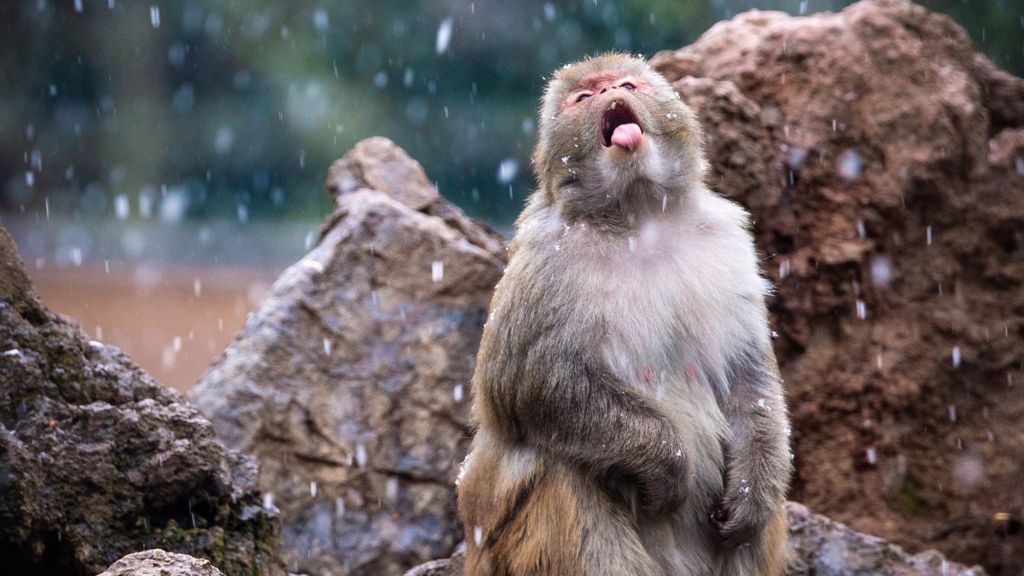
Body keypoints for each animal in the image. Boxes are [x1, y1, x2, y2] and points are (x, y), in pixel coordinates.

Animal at [456, 53, 792, 576]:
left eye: (627, 85)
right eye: (583, 97)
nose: (610, 94)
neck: (639, 218)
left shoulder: (729, 244)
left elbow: (747, 373)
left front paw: (751, 493)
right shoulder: (545, 262)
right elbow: (527, 381)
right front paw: (668, 463)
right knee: (561, 467)